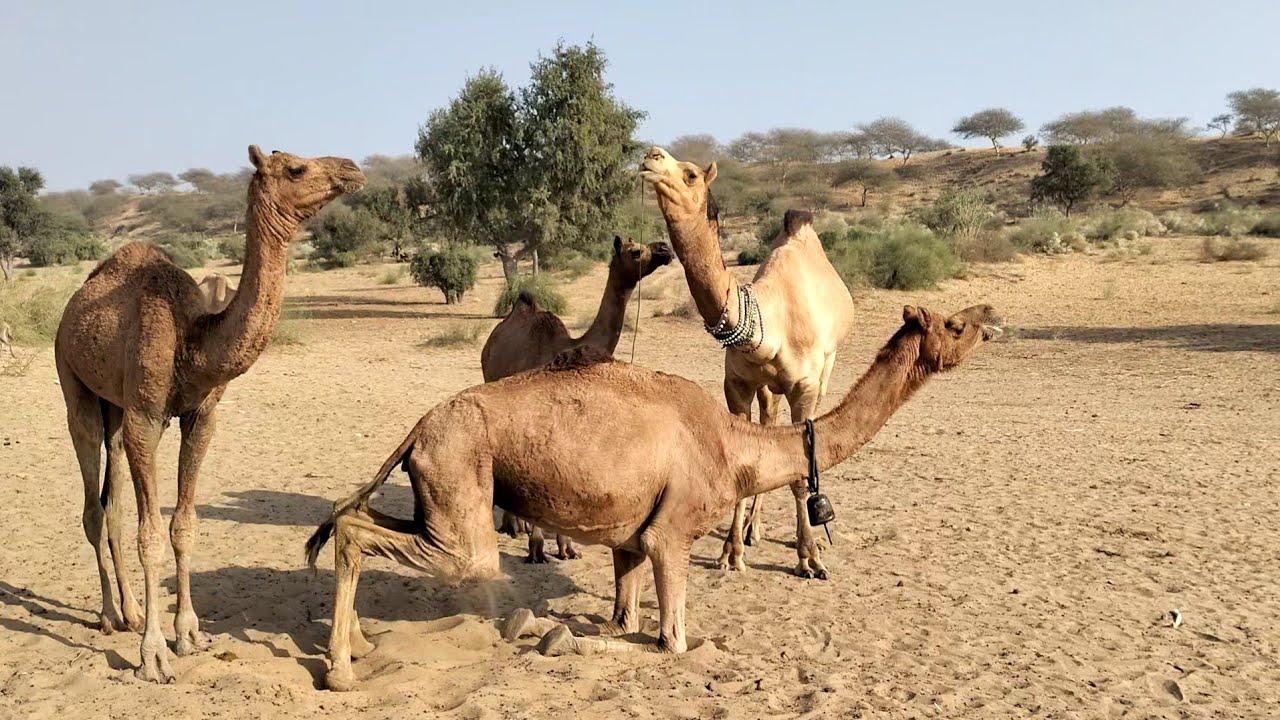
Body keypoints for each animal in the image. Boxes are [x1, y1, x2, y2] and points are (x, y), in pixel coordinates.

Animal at [55, 145, 364, 683]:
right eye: (296, 167)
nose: (353, 169)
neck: (193, 342)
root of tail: (72, 307)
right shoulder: (145, 418)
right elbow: (151, 535)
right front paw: (154, 655)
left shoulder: (200, 417)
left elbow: (183, 526)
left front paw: (189, 633)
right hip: (73, 381)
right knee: (93, 499)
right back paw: (110, 615)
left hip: (114, 405)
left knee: (112, 502)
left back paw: (131, 610)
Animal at [306, 303, 1002, 691]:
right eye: (955, 324)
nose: (993, 318)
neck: (735, 447)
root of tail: (417, 429)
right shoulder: (672, 532)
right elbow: (672, 641)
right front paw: (556, 637)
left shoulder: (632, 536)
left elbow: (624, 618)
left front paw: (559, 628)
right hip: (461, 493)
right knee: (379, 536)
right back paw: (341, 669)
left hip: (438, 489)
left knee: (349, 512)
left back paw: (358, 645)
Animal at [482, 236, 673, 562]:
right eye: (635, 251)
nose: (665, 248)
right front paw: (537, 549)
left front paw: (567, 547)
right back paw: (513, 526)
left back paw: (518, 525)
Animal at [640, 146, 856, 579]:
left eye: (690, 174)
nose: (650, 156)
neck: (769, 323)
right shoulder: (736, 385)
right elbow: (743, 460)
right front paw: (730, 552)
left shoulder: (804, 386)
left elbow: (801, 472)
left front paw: (809, 558)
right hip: (768, 389)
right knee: (768, 427)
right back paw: (754, 529)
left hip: (826, 369)